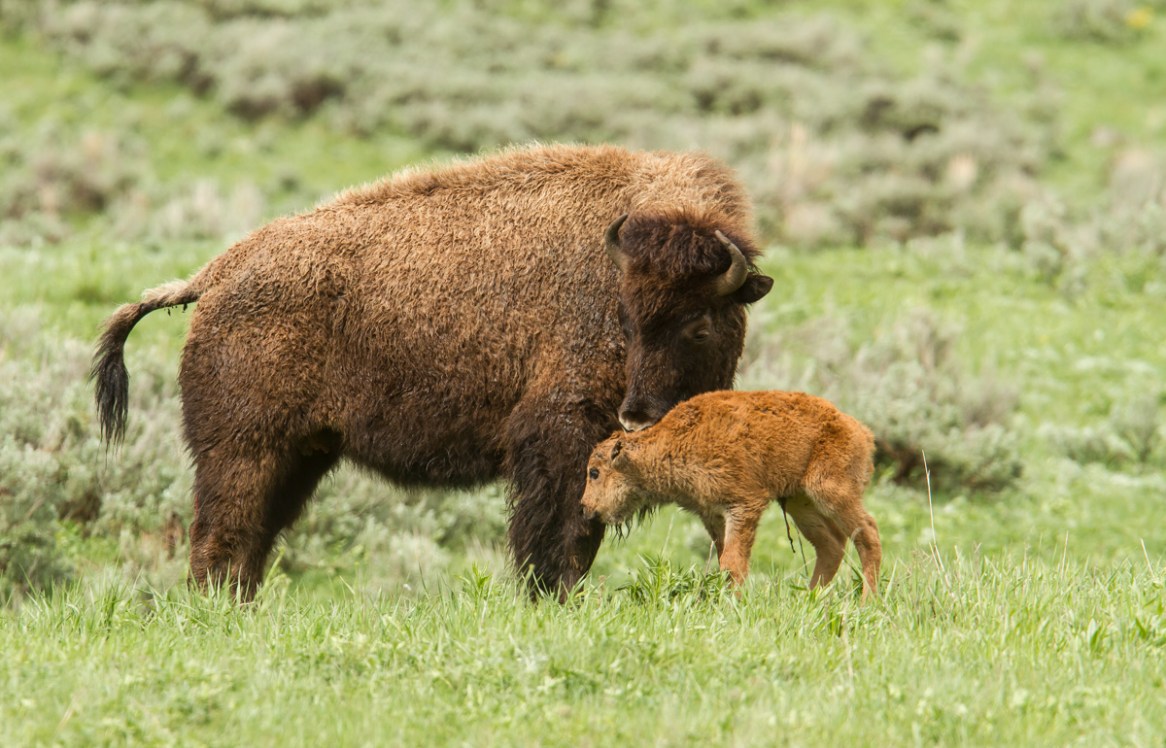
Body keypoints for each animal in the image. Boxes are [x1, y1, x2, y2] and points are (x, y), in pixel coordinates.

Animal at [93, 144, 773, 599]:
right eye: (627, 320)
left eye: (700, 323)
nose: (639, 416)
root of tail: (212, 277)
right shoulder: (559, 438)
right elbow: (560, 533)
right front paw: (546, 597)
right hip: (245, 451)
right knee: (223, 536)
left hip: (299, 456)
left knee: (252, 540)